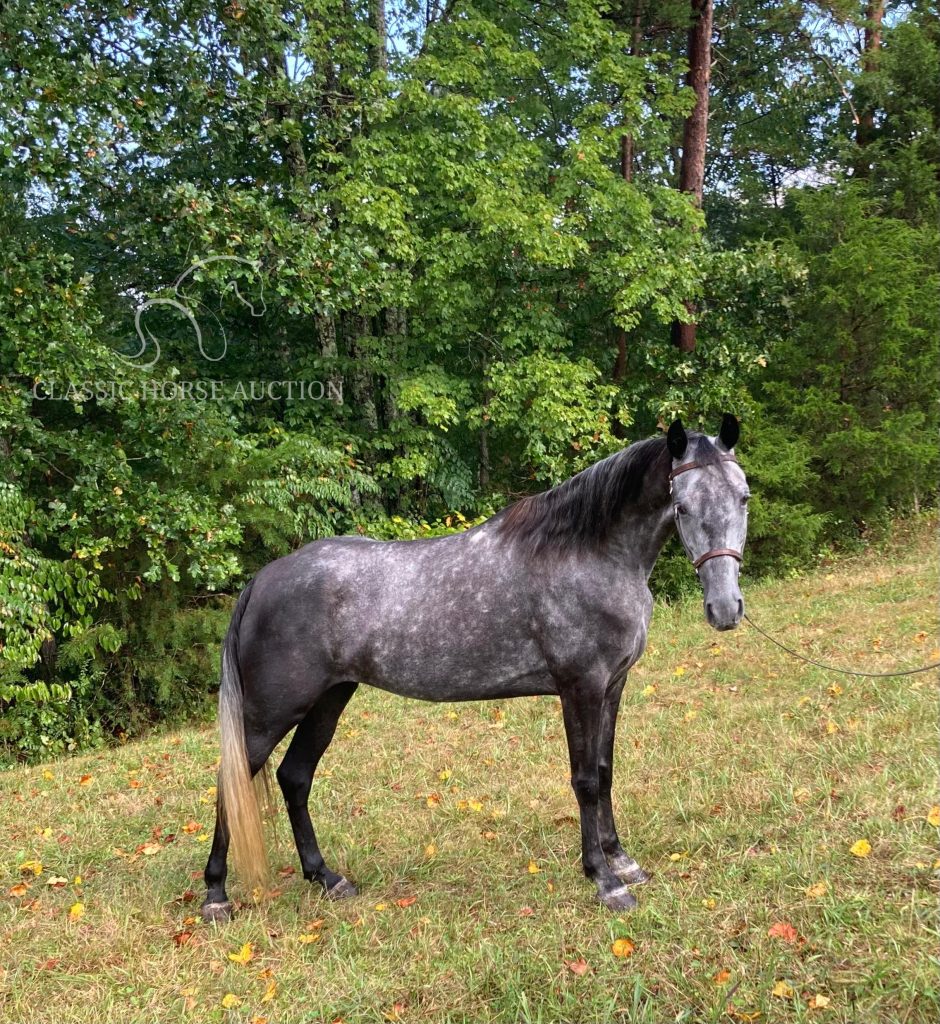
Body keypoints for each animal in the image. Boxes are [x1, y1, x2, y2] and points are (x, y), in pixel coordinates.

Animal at [201, 415, 749, 922]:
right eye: (682, 506)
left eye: (743, 497)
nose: (725, 609)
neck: (587, 553)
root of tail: (263, 580)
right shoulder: (581, 688)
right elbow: (584, 781)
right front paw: (603, 879)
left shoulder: (613, 686)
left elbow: (605, 770)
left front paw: (622, 860)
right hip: (271, 713)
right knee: (233, 782)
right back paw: (215, 895)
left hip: (329, 699)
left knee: (295, 777)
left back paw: (326, 877)